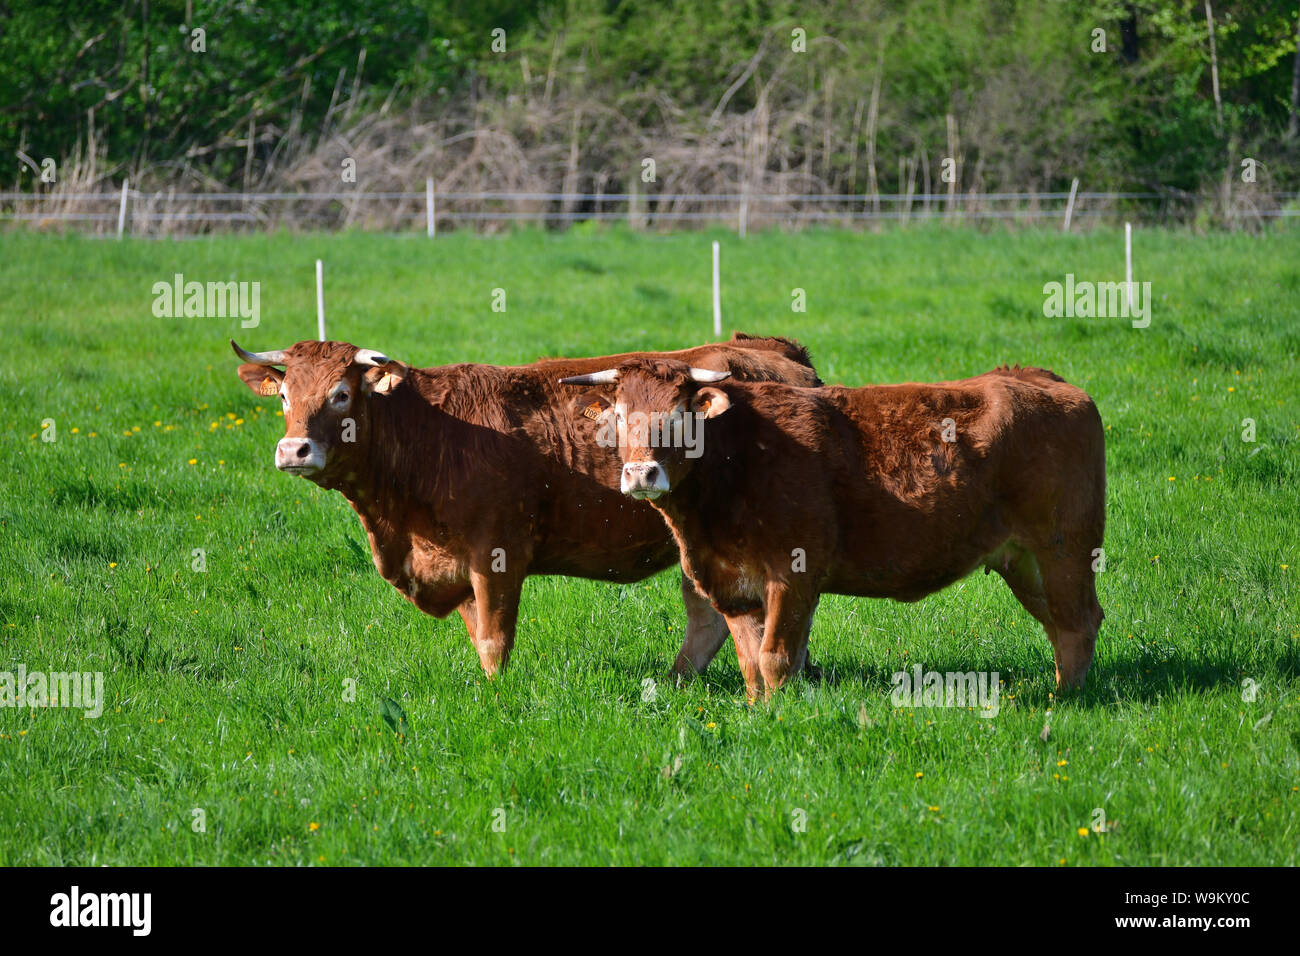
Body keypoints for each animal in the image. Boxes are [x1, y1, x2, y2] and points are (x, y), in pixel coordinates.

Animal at [230, 334, 820, 679]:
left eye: (341, 395)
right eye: (283, 397)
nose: (292, 450)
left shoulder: (497, 554)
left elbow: (494, 640)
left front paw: (495, 696)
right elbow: (477, 633)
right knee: (713, 617)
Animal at [560, 358, 1106, 700]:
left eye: (678, 417)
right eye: (620, 416)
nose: (640, 474)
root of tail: (1041, 379)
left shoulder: (793, 574)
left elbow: (777, 659)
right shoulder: (731, 585)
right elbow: (751, 663)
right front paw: (759, 712)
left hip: (1064, 549)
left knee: (1077, 623)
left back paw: (1066, 700)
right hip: (1025, 561)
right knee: (1060, 624)